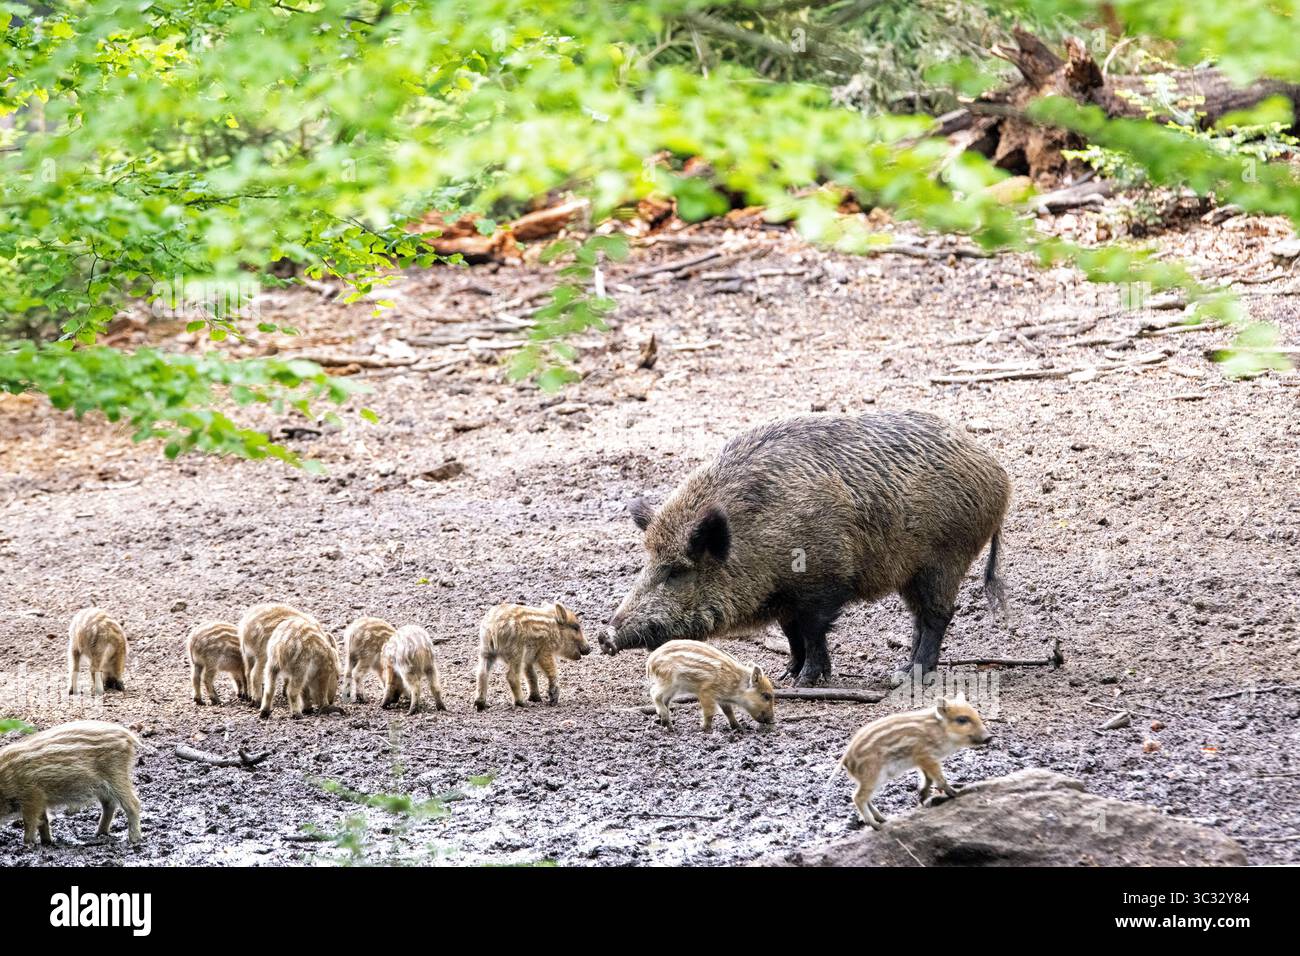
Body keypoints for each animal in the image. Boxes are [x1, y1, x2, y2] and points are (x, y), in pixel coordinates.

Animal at [0, 720, 142, 846]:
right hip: (102, 786)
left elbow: (30, 822)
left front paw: (27, 844)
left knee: (133, 803)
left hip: (116, 774)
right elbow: (43, 821)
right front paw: (47, 842)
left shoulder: (31, 795)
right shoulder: (40, 799)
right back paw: (99, 833)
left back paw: (134, 839)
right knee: (109, 805)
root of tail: (127, 735)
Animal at [604, 412, 1010, 685]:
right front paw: (786, 675)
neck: (754, 536)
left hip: (945, 558)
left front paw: (806, 681)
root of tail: (998, 472)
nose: (605, 634)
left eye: (677, 571)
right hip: (912, 571)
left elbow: (813, 632)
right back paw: (900, 671)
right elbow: (790, 634)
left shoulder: (823, 581)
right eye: (648, 562)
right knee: (918, 618)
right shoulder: (785, 597)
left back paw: (913, 676)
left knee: (938, 615)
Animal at [645, 639, 776, 731]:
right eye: (766, 696)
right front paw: (704, 729)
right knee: (654, 693)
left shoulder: (722, 698)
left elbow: (728, 711)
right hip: (668, 681)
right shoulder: (705, 692)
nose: (772, 721)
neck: (736, 684)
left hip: (673, 689)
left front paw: (738, 727)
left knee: (665, 700)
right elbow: (709, 712)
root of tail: (650, 661)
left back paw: (669, 726)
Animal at [830, 694, 993, 828]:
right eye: (962, 719)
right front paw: (955, 793)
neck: (940, 731)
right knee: (857, 797)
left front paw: (922, 797)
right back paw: (876, 825)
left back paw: (883, 819)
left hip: (875, 779)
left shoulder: (922, 760)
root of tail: (846, 759)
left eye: (976, 714)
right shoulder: (926, 756)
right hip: (872, 775)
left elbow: (928, 778)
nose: (989, 737)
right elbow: (939, 778)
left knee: (866, 798)